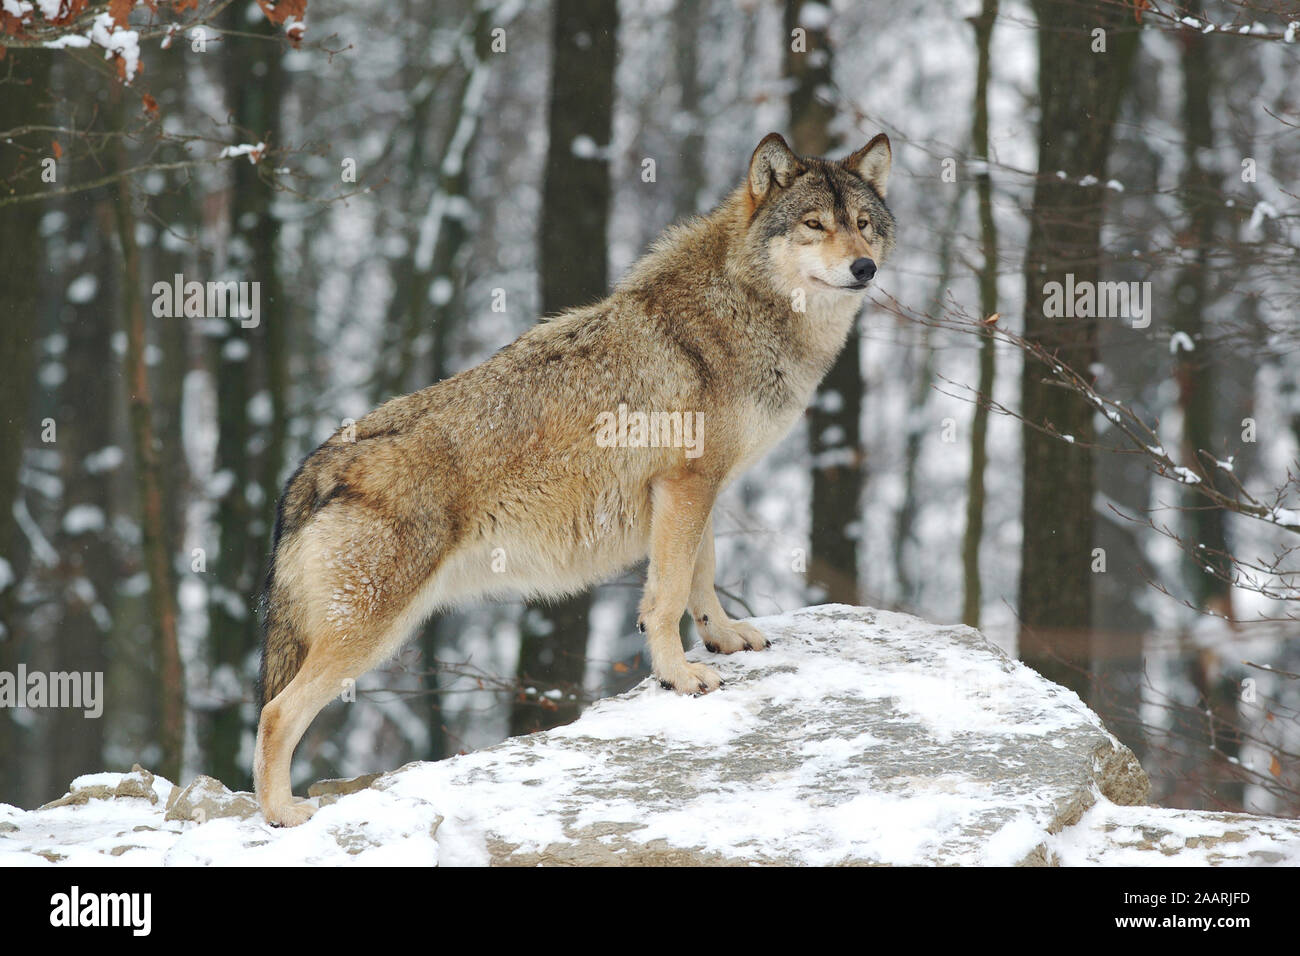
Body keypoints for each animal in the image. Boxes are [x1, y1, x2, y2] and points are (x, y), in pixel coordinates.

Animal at [254, 131, 895, 826]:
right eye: (815, 225)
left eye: (863, 225)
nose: (865, 268)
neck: (741, 310)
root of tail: (314, 469)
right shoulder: (687, 485)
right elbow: (668, 594)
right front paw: (679, 676)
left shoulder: (698, 489)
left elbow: (701, 577)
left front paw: (722, 639)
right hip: (370, 632)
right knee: (274, 713)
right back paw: (283, 815)